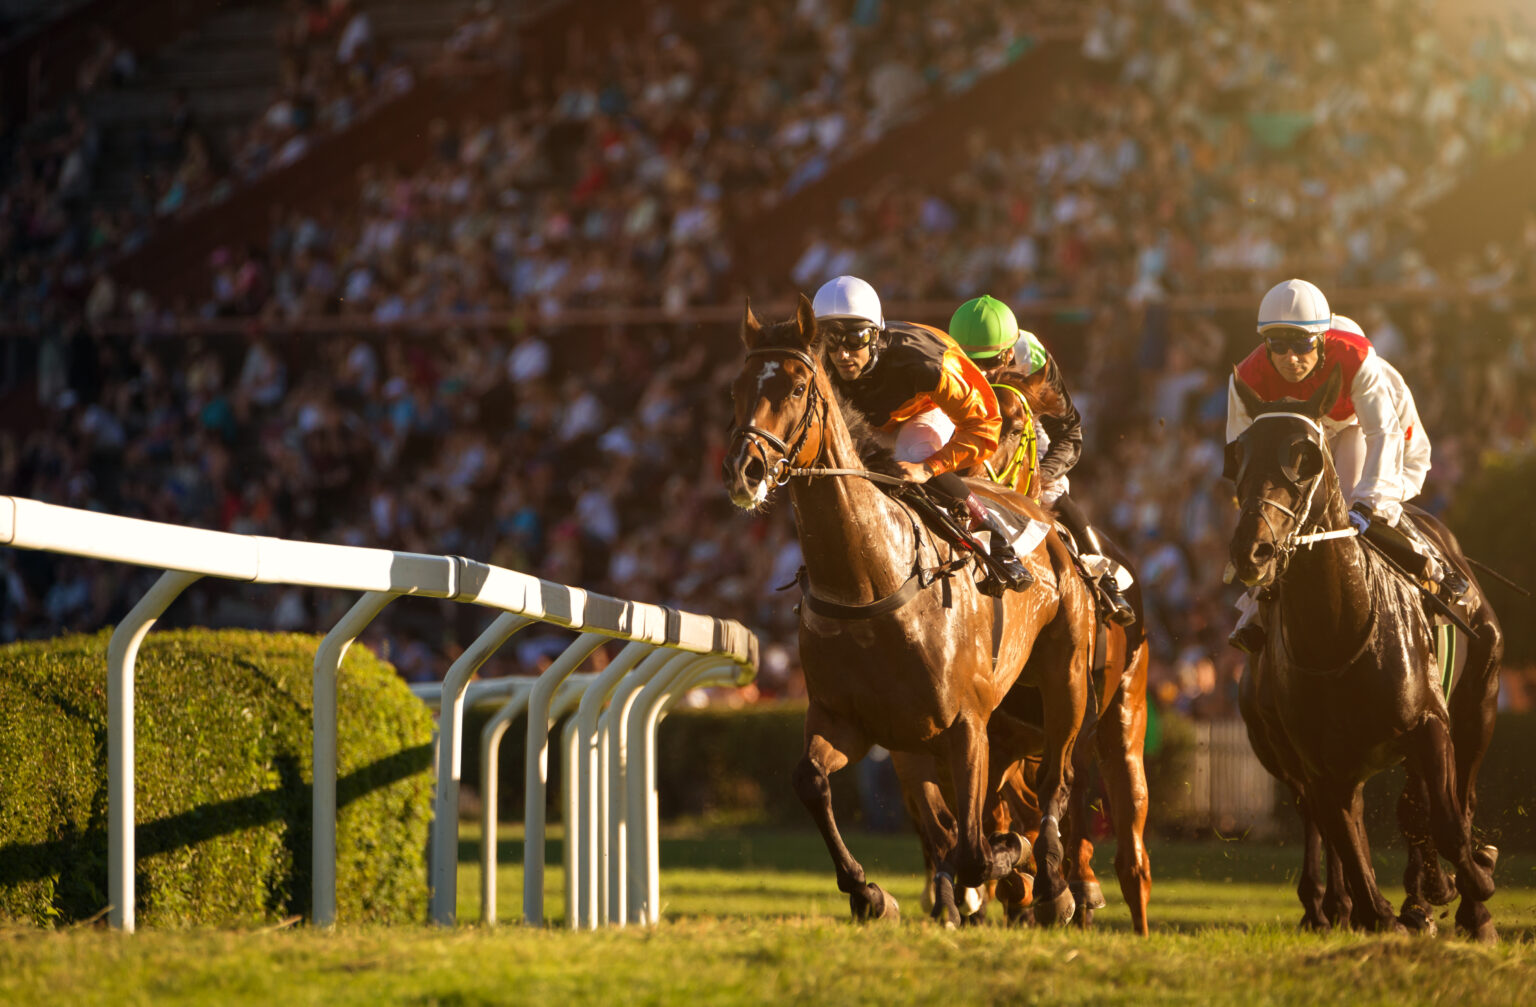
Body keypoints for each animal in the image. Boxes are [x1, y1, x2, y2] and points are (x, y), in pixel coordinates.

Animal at [721, 294, 1095, 923]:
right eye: (737, 388)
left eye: (797, 386)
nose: (744, 471)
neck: (870, 583)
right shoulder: (849, 720)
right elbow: (810, 781)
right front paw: (869, 891)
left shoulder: (966, 726)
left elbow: (973, 851)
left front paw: (1010, 864)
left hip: (1064, 678)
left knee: (1056, 782)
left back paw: (1053, 884)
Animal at [1227, 365, 1502, 940]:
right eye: (1236, 456)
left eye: (1304, 456)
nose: (1252, 550)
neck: (1341, 632)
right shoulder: (1318, 763)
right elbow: (1349, 839)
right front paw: (1376, 912)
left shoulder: (1430, 723)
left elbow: (1447, 820)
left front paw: (1474, 887)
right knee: (1355, 817)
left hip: (1480, 700)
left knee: (1453, 800)